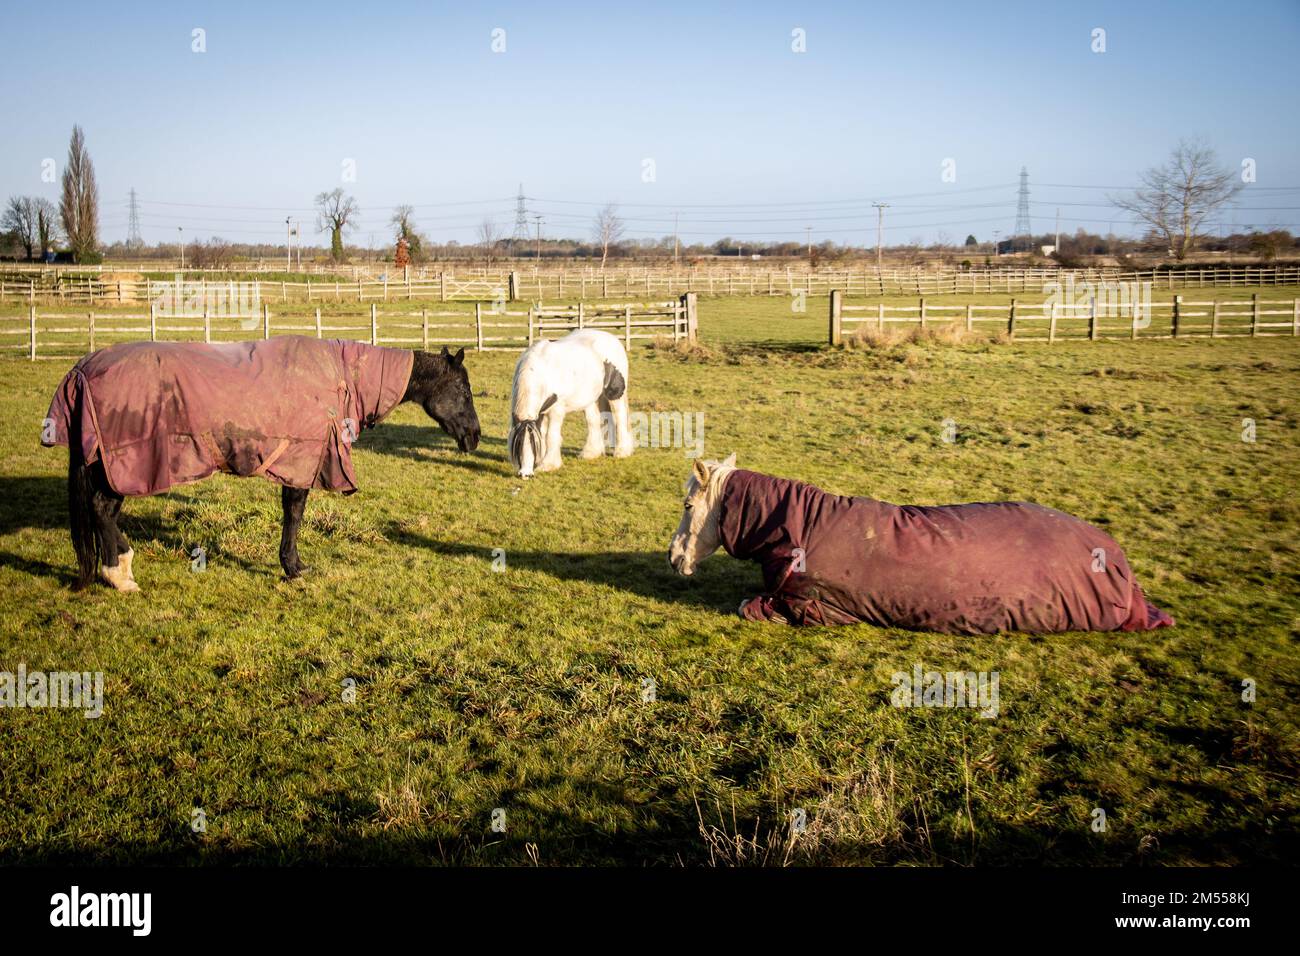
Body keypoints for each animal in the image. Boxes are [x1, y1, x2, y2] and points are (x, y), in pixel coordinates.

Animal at [41, 337, 480, 592]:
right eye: (464, 390)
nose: (474, 437)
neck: (340, 374)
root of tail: (82, 370)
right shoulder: (302, 460)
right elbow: (295, 513)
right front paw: (293, 566)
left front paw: (292, 563)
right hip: (123, 466)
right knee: (102, 509)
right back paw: (119, 575)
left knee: (103, 513)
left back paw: (117, 568)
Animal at [507, 328, 634, 478]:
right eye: (518, 443)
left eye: (533, 444)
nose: (525, 474)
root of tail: (612, 339)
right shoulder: (541, 412)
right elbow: (542, 434)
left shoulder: (556, 410)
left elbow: (551, 436)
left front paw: (548, 465)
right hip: (591, 398)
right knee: (594, 421)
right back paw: (591, 453)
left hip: (615, 394)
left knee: (620, 418)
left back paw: (622, 451)